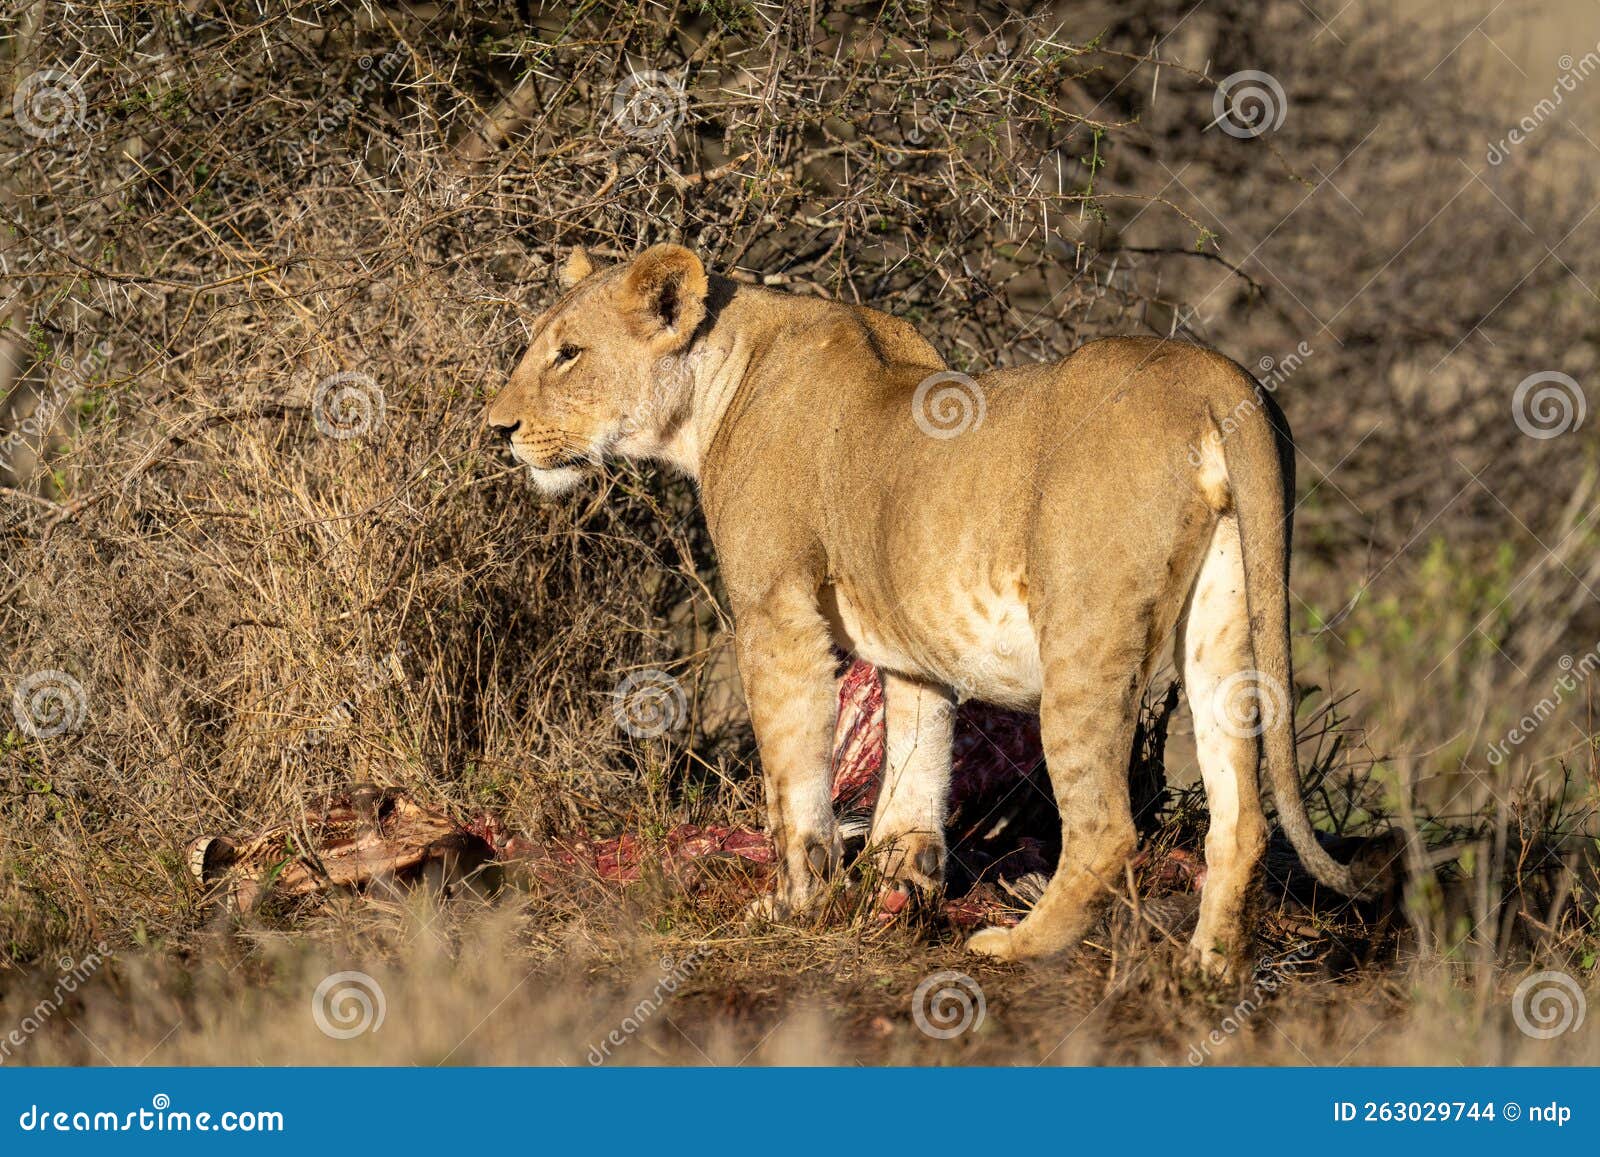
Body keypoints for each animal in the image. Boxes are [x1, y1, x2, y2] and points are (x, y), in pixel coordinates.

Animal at [486, 243, 1370, 975]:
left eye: (568, 353)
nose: (498, 429)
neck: (712, 388)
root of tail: (1215, 376)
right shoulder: (909, 645)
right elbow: (916, 772)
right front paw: (896, 890)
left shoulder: (777, 612)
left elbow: (793, 777)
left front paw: (794, 904)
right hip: (1224, 616)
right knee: (1241, 817)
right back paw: (1211, 967)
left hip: (1083, 633)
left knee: (1106, 828)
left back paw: (1016, 945)